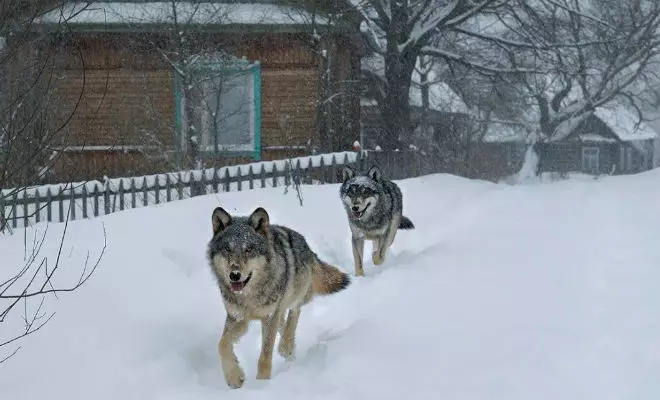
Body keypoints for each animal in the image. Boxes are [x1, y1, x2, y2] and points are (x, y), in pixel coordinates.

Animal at [206, 206, 350, 388]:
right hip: (277, 310)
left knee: (294, 313)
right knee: (283, 321)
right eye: (227, 249)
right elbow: (222, 344)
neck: (249, 296)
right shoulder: (238, 318)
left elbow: (266, 354)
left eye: (249, 249)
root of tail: (307, 246)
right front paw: (234, 376)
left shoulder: (269, 317)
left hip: (295, 295)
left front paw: (262, 384)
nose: (235, 275)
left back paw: (286, 345)